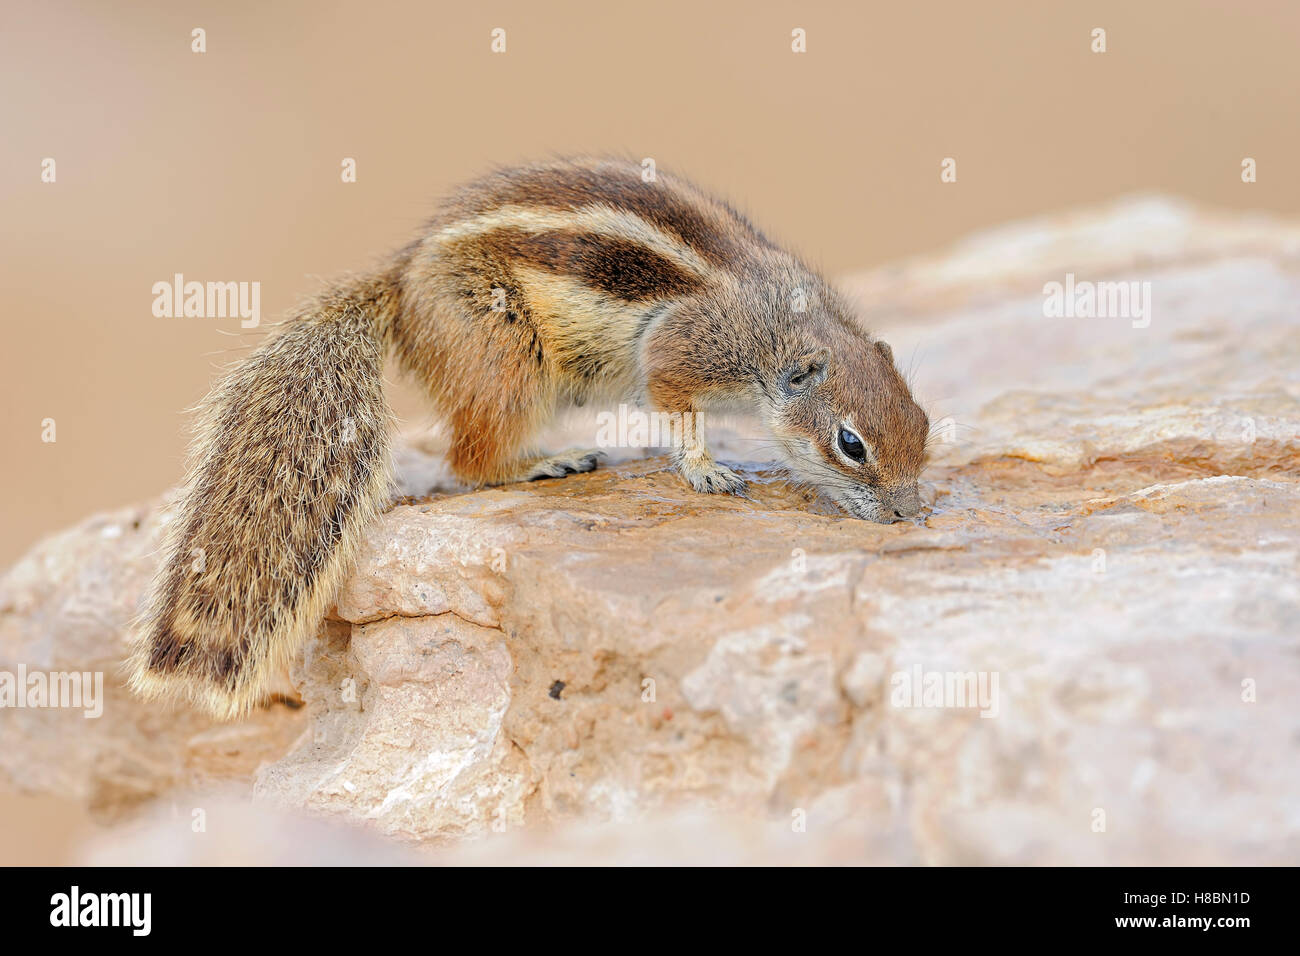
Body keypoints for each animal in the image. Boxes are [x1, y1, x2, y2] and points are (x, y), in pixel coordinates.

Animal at [127, 156, 930, 719]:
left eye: (924, 427)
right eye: (851, 444)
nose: (906, 513)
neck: (786, 325)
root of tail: (401, 276)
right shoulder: (681, 350)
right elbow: (675, 405)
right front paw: (707, 469)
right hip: (504, 354)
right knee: (468, 457)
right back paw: (550, 460)